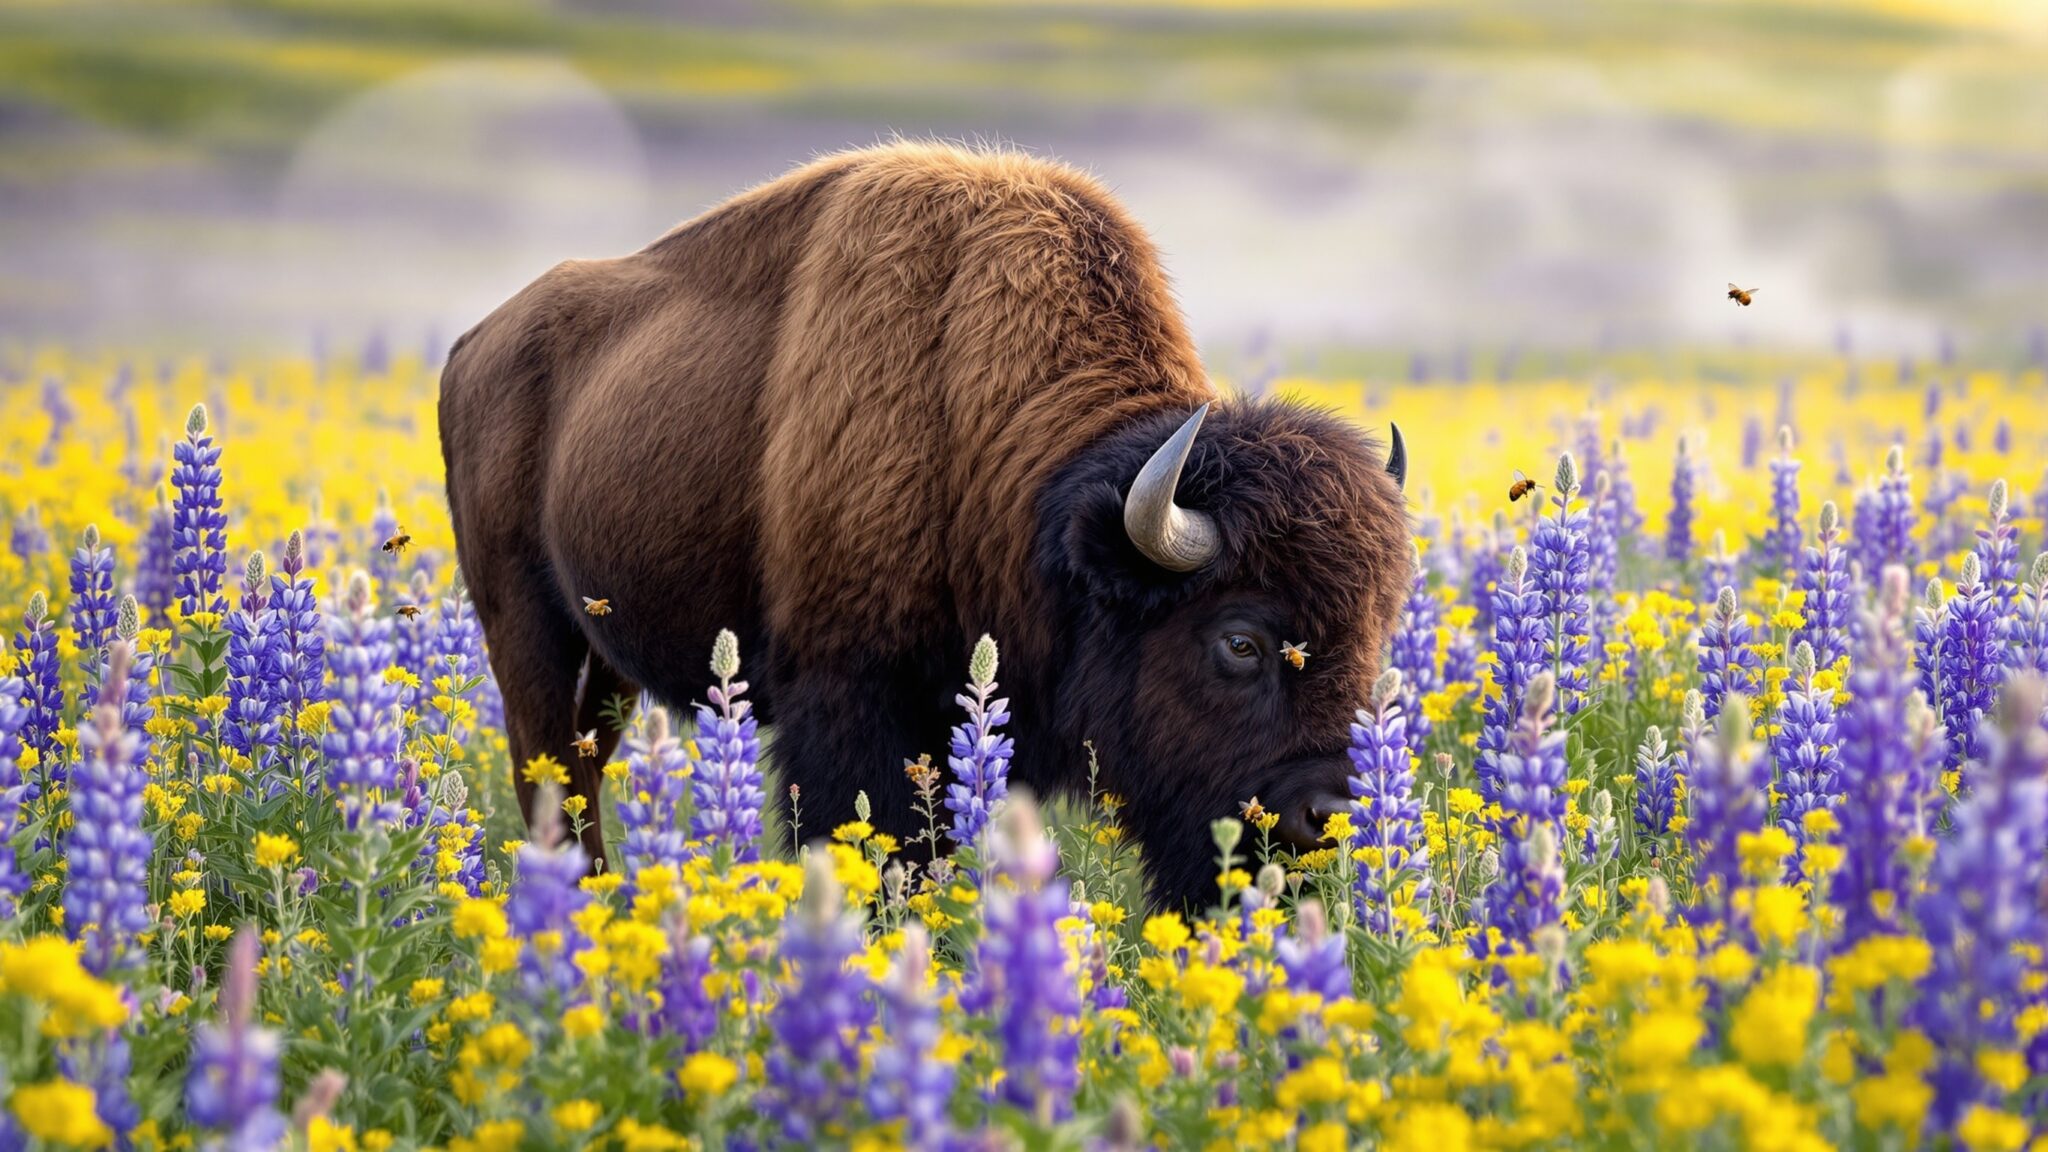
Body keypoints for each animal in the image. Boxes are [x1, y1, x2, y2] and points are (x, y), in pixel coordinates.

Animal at [440, 142, 1411, 903]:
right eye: (1240, 641)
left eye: (1380, 628)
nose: (1331, 814)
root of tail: (472, 346)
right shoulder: (849, 700)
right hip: (525, 627)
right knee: (546, 766)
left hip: (607, 661)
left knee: (584, 763)